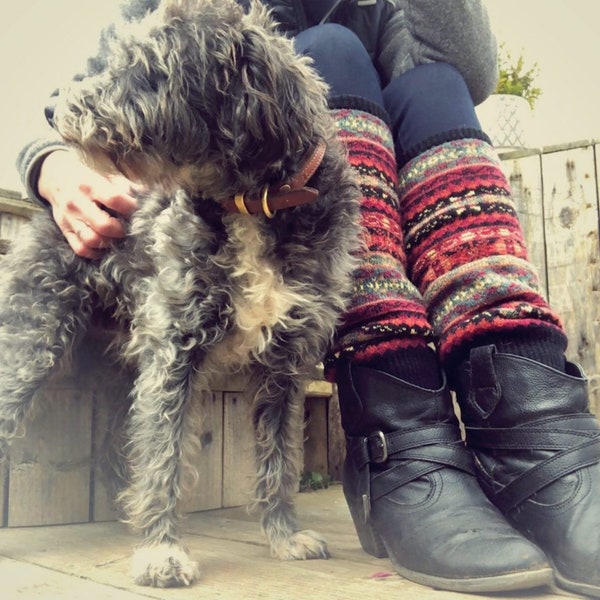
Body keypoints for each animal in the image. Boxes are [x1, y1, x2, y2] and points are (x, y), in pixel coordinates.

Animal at [0, 0, 360, 584]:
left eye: (146, 67)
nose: (52, 107)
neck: (249, 202)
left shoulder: (285, 366)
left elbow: (280, 459)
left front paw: (284, 537)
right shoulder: (174, 348)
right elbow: (164, 455)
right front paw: (161, 552)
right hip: (30, 344)